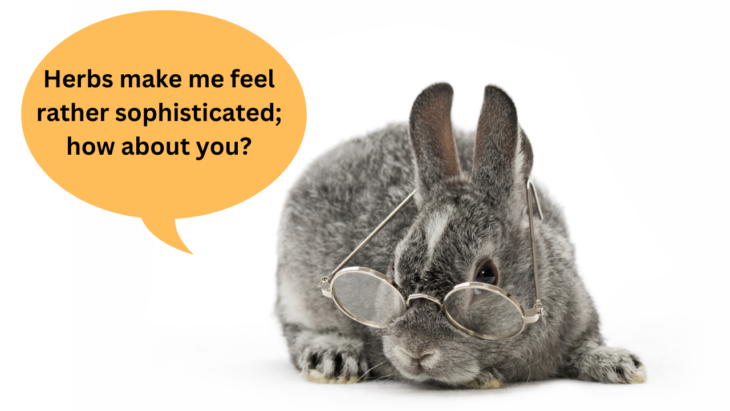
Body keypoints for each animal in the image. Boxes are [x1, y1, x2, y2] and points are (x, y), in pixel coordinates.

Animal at [275, 83, 646, 388]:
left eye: (487, 275)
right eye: (393, 270)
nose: (415, 351)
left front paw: (620, 364)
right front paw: (483, 378)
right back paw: (333, 354)